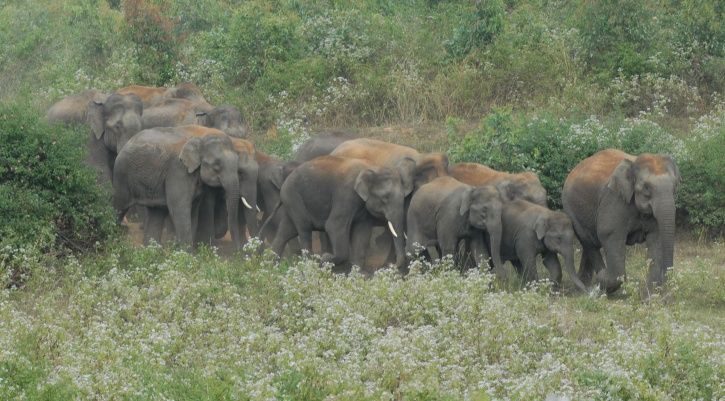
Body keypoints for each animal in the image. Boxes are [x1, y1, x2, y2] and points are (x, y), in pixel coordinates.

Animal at [112, 125, 242, 248]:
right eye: (216, 166)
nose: (238, 252)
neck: (200, 138)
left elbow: (193, 210)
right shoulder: (178, 170)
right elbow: (180, 208)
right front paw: (186, 254)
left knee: (156, 213)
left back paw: (153, 251)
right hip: (122, 175)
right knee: (119, 206)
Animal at [270, 155, 414, 270]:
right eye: (385, 198)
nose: (390, 265)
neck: (372, 167)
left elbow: (362, 232)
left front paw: (356, 276)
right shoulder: (346, 194)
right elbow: (333, 226)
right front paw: (325, 258)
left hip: (291, 201)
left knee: (286, 232)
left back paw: (271, 266)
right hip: (293, 196)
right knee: (304, 228)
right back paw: (310, 262)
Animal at [562, 149, 680, 294]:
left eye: (675, 186)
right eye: (646, 187)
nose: (668, 288)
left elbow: (656, 238)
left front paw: (650, 296)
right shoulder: (614, 200)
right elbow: (609, 234)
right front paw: (605, 278)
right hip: (570, 208)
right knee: (589, 242)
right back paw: (599, 280)